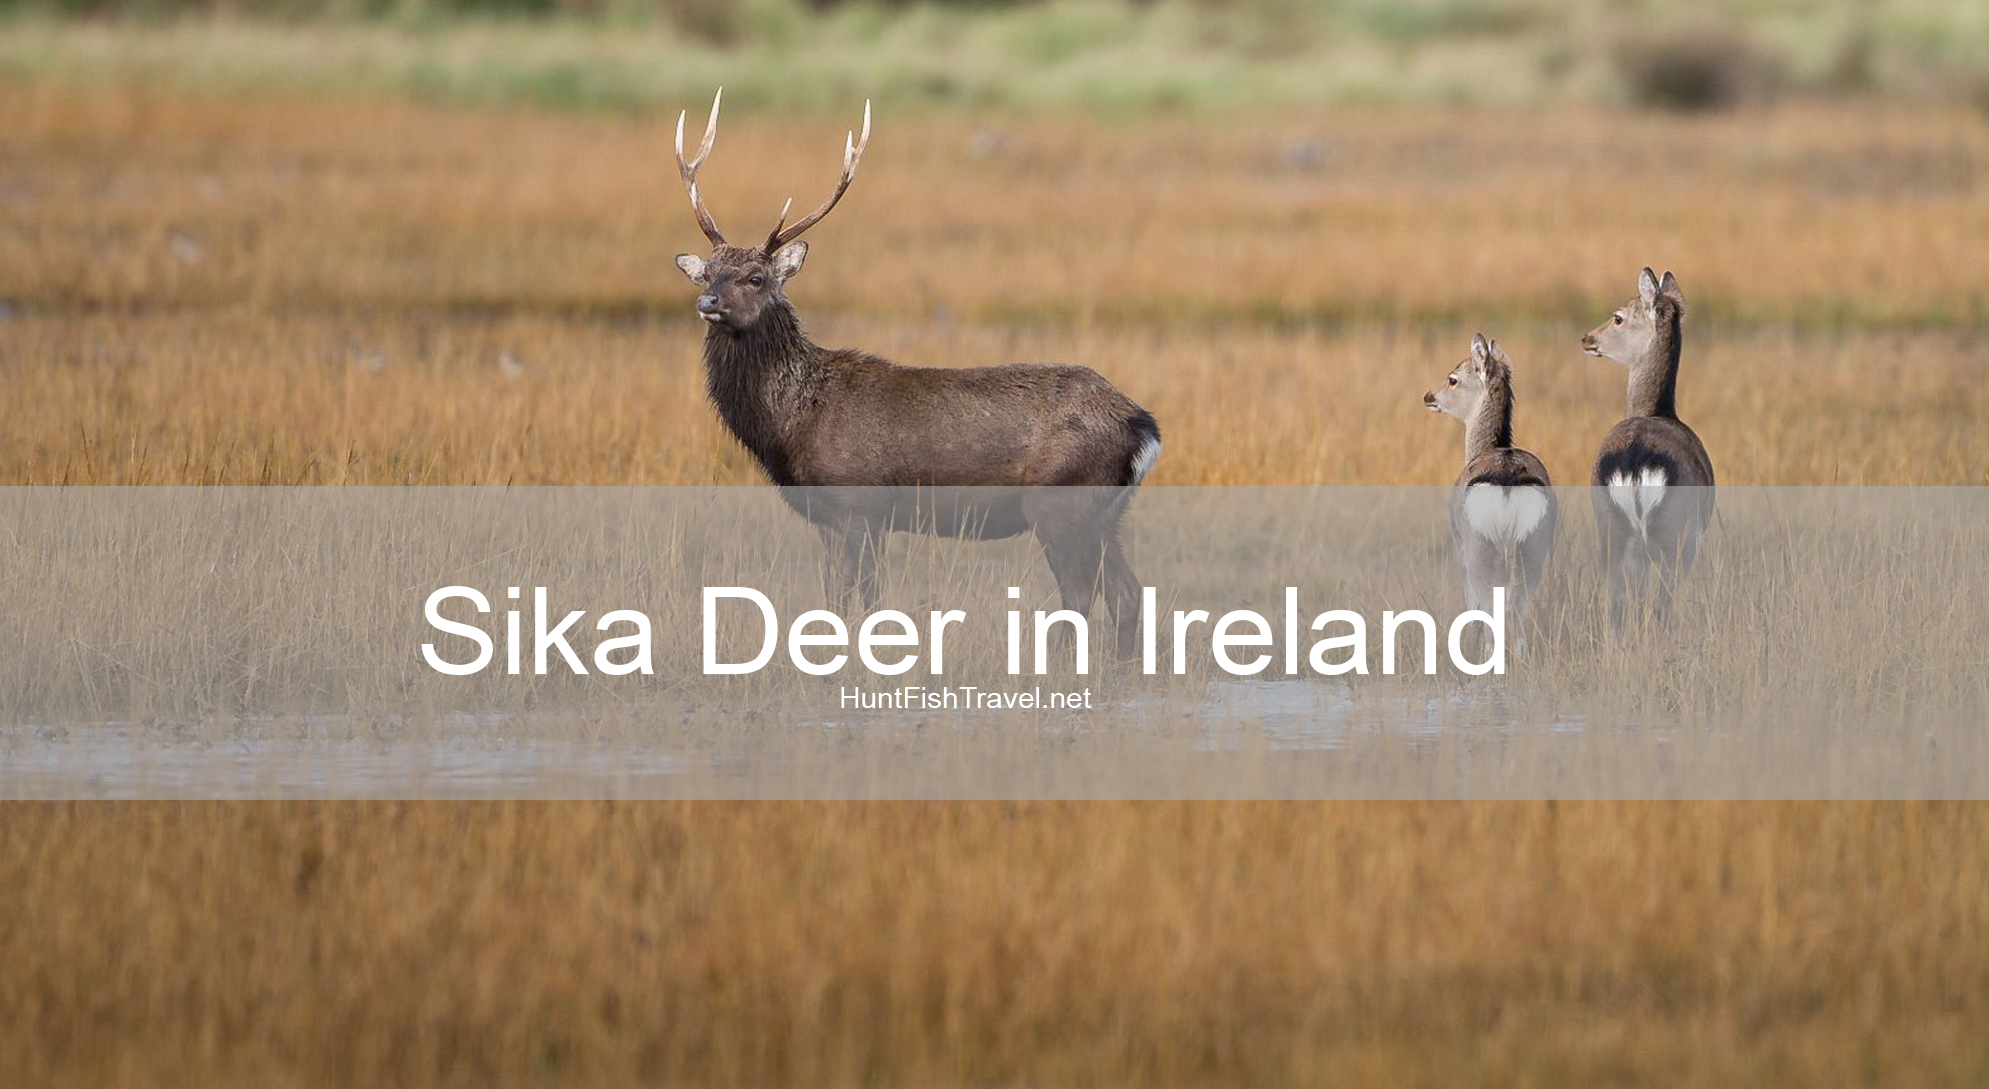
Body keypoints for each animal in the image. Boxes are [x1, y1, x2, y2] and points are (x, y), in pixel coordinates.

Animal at [668, 91, 1161, 657]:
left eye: (755, 277)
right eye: (707, 273)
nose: (708, 302)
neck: (792, 423)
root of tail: (1143, 424)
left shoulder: (861, 504)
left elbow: (867, 601)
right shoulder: (830, 518)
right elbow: (833, 601)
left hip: (1062, 501)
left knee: (1081, 594)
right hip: (1105, 513)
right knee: (1126, 594)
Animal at [1424, 333, 1556, 654]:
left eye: (1453, 379)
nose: (1429, 397)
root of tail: (1507, 478)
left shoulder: (1461, 551)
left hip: (1481, 555)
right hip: (1531, 555)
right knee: (1518, 614)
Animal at [1581, 268, 1715, 629]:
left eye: (1618, 317)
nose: (1587, 338)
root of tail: (1634, 460)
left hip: (1617, 528)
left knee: (1620, 601)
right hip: (1672, 533)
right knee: (1658, 604)